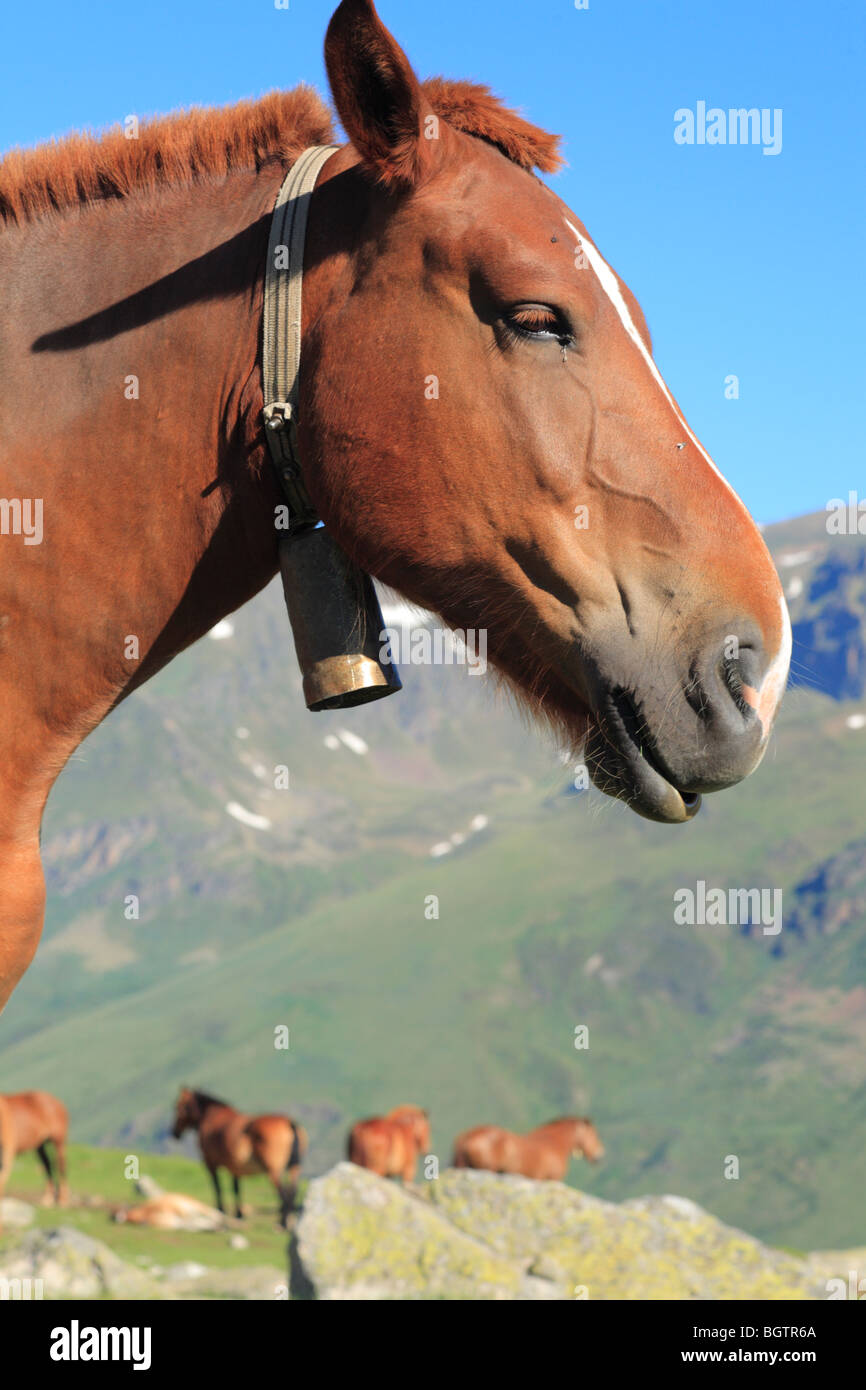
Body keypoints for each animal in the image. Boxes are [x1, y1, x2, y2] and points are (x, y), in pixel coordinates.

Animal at [171, 1087, 307, 1226]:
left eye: (177, 1106)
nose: (174, 1132)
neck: (211, 1117)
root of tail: (289, 1123)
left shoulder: (210, 1163)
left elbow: (218, 1188)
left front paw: (221, 1210)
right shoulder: (235, 1166)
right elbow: (236, 1188)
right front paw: (239, 1215)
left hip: (273, 1169)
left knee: (283, 1193)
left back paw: (282, 1222)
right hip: (294, 1167)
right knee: (293, 1191)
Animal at [452, 1117, 604, 1181]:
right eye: (594, 1134)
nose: (599, 1155)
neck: (554, 1143)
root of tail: (468, 1134)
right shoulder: (552, 1179)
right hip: (486, 1169)